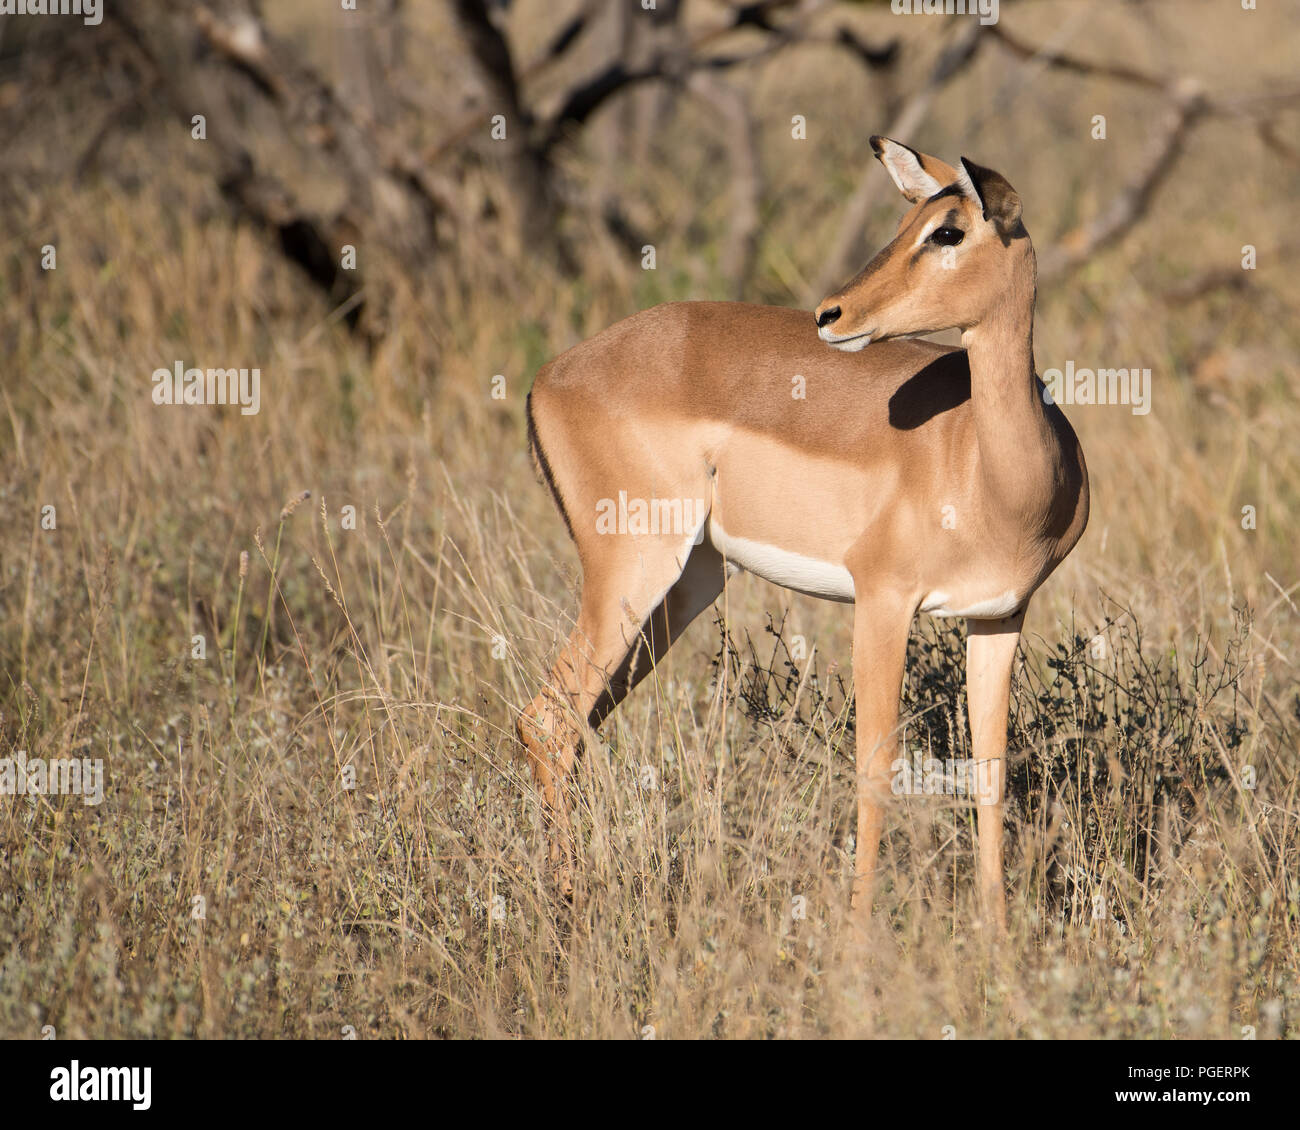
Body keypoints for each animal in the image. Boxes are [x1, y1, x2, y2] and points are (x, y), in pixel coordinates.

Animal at [518, 137, 1088, 930]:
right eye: (911, 222)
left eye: (947, 231)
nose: (831, 313)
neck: (987, 469)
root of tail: (550, 376)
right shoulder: (883, 602)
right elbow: (876, 767)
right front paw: (856, 944)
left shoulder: (1000, 616)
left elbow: (990, 771)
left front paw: (999, 942)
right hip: (631, 572)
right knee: (546, 720)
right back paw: (568, 906)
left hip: (685, 585)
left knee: (575, 723)